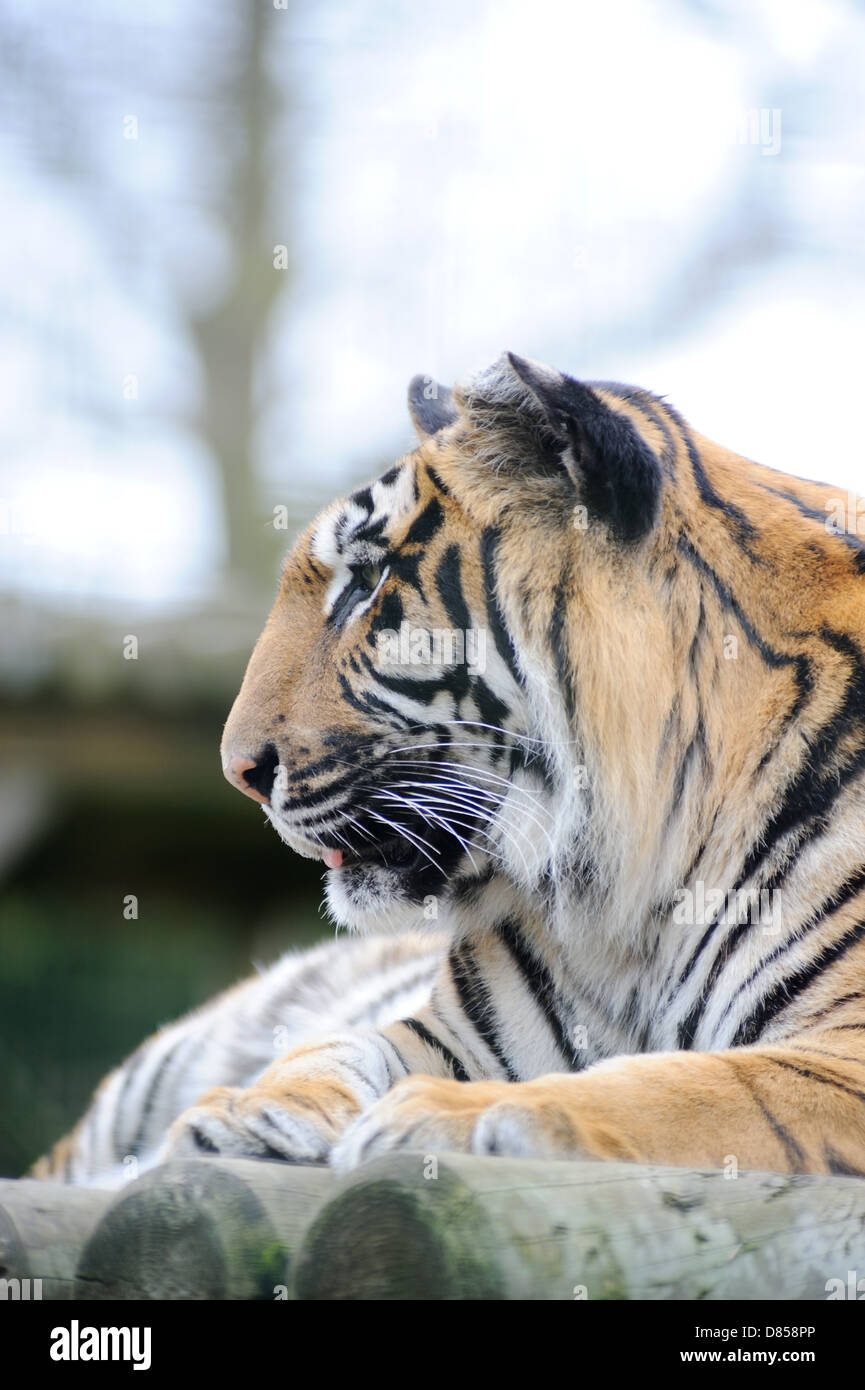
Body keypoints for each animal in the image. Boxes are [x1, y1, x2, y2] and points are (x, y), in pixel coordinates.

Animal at [33, 350, 865, 1186]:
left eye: (366, 584)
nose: (239, 771)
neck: (622, 905)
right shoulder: (450, 1032)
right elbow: (335, 1044)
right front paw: (246, 1110)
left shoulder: (841, 1057)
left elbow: (669, 1087)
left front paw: (443, 1114)